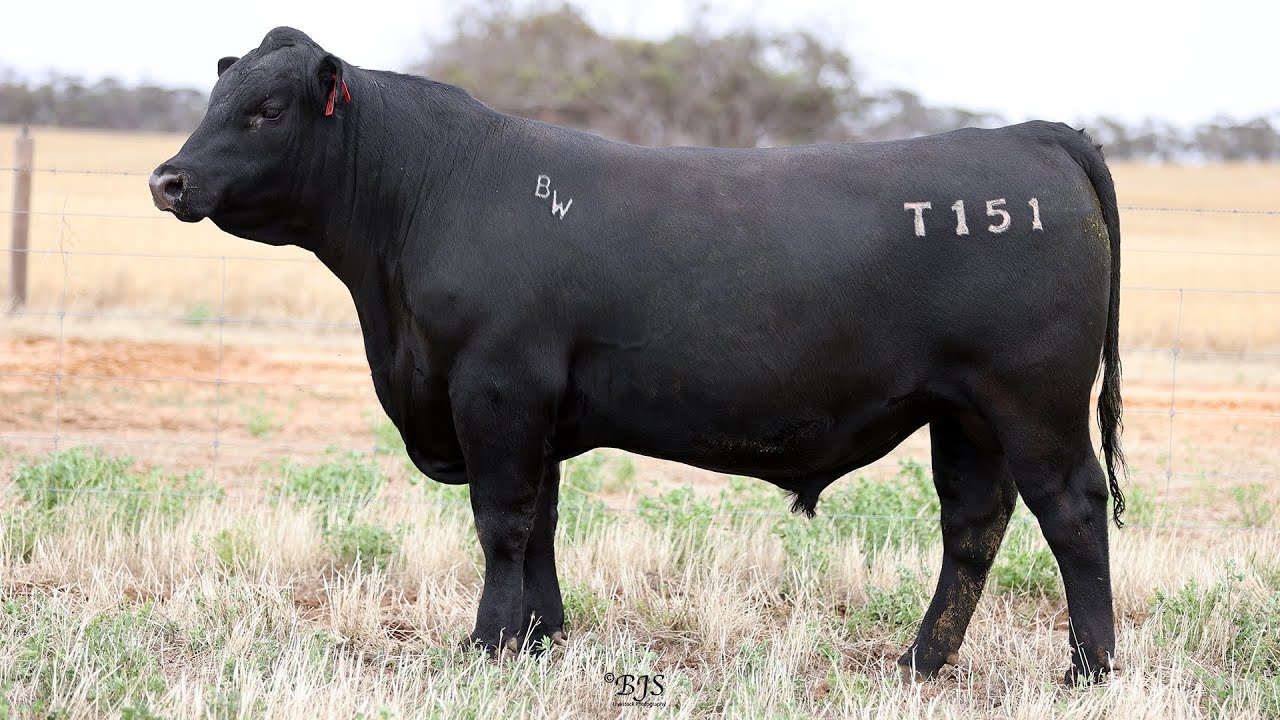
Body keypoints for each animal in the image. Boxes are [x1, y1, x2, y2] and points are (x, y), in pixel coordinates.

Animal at [150, 27, 1125, 684]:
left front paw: (488, 644)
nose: (168, 178)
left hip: (1033, 400)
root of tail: (1032, 133)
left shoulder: (496, 389)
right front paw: (542, 637)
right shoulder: (534, 409)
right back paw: (919, 662)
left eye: (267, 109)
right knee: (974, 525)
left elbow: (502, 521)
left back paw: (1088, 670)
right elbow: (541, 521)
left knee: (1072, 511)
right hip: (964, 413)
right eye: (214, 101)